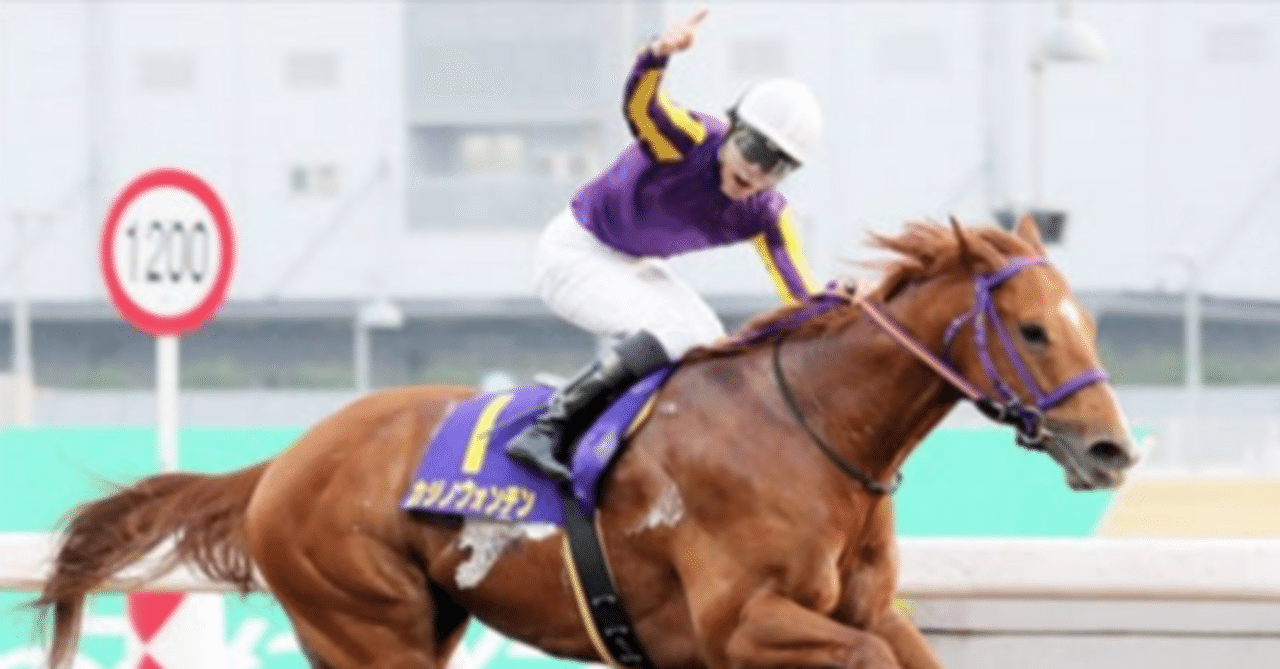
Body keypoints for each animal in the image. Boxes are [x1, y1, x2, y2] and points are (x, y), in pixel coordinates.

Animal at [33, 216, 1137, 669]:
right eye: (1033, 329)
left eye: (1085, 320)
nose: (1113, 453)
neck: (815, 434)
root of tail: (283, 461)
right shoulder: (742, 626)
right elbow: (855, 654)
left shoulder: (860, 610)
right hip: (367, 624)